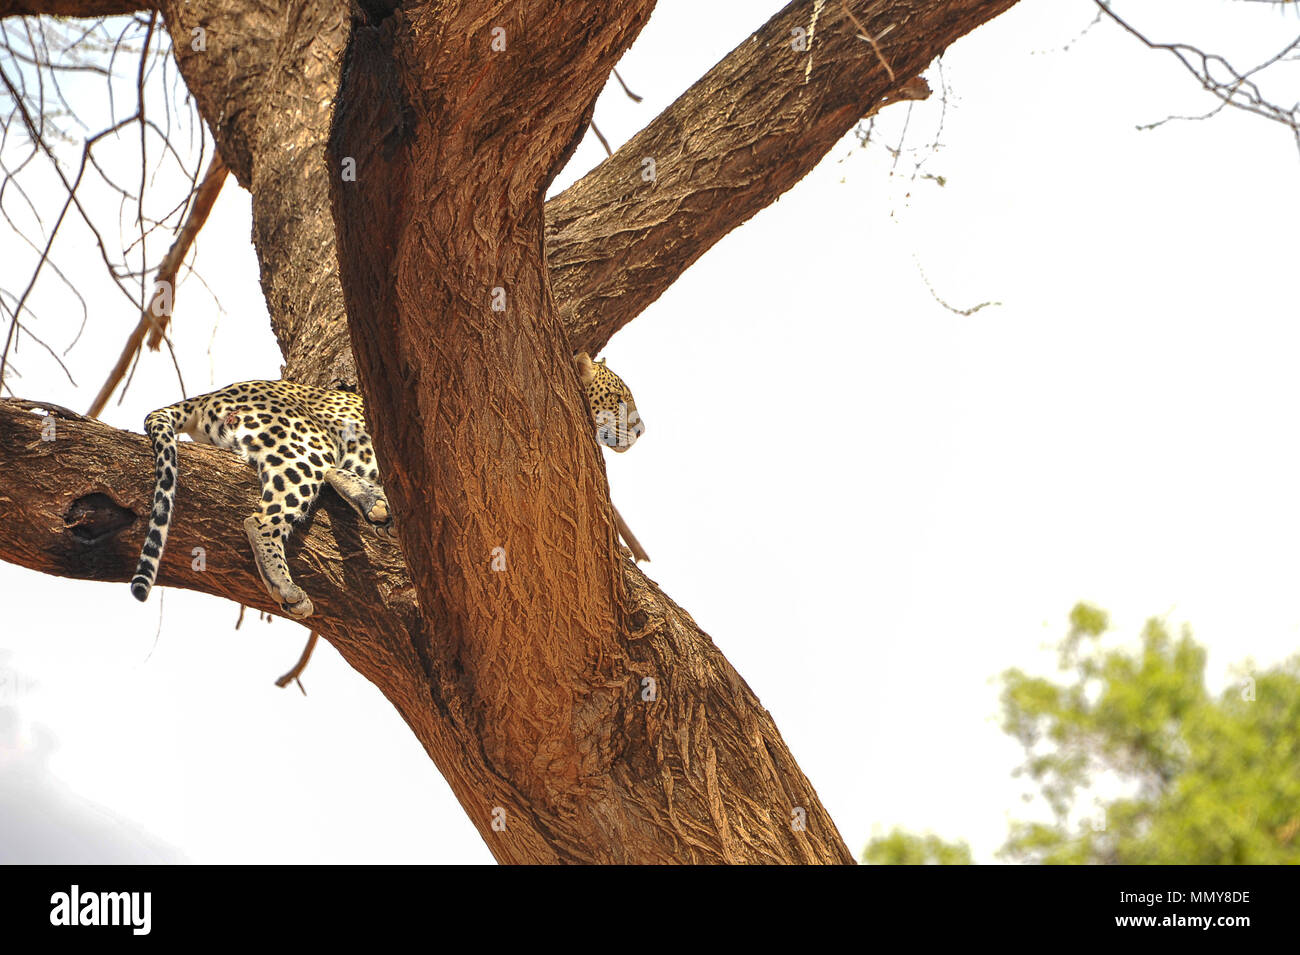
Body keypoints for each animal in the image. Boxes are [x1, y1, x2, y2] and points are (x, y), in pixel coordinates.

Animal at [130, 352, 644, 618]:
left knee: (333, 475)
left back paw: (375, 505)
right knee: (260, 518)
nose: (641, 430)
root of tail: (212, 395)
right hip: (302, 442)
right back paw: (286, 585)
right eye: (622, 398)